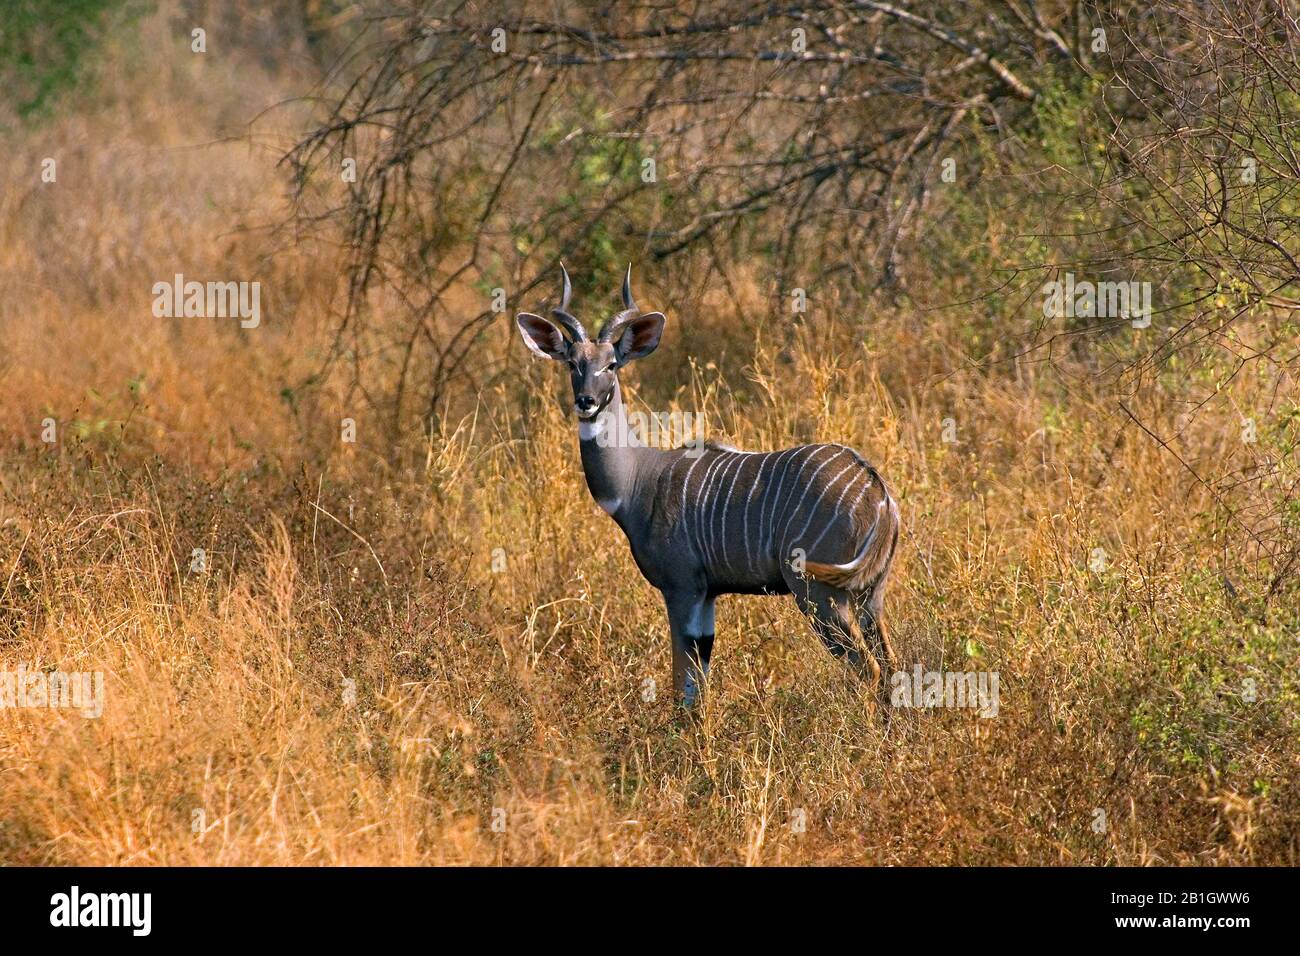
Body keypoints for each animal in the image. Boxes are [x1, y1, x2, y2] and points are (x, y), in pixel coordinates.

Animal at [516, 266, 900, 709]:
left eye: (612, 364)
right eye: (572, 363)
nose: (586, 402)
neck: (639, 480)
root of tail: (877, 491)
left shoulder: (682, 587)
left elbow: (683, 688)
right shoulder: (707, 595)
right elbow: (698, 684)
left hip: (818, 592)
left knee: (867, 668)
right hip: (870, 594)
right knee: (891, 666)